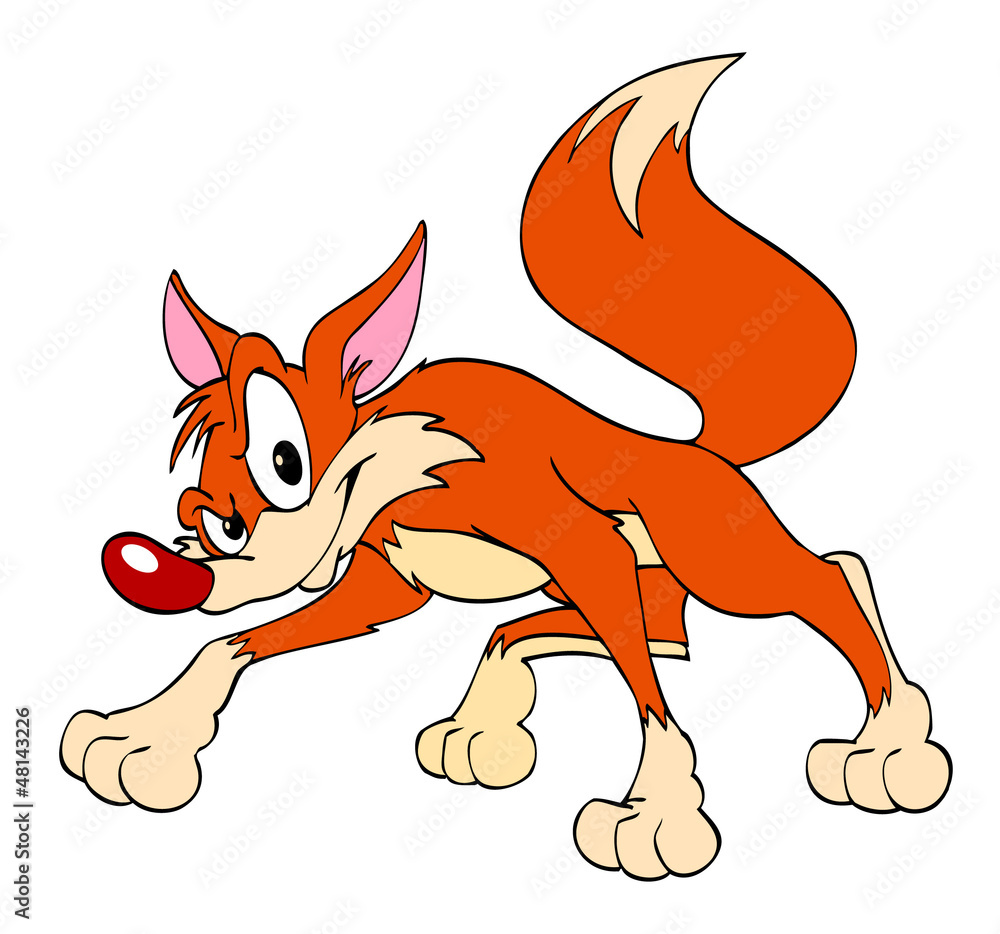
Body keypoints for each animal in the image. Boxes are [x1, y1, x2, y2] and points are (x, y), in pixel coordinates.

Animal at [60, 54, 951, 880]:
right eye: (202, 482)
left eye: (286, 462)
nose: (198, 548)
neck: (401, 474)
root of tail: (696, 449)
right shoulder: (390, 577)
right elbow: (233, 645)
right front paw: (141, 739)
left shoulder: (572, 537)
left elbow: (652, 706)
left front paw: (655, 818)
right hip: (648, 585)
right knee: (609, 636)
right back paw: (479, 728)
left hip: (711, 558)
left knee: (828, 579)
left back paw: (887, 748)